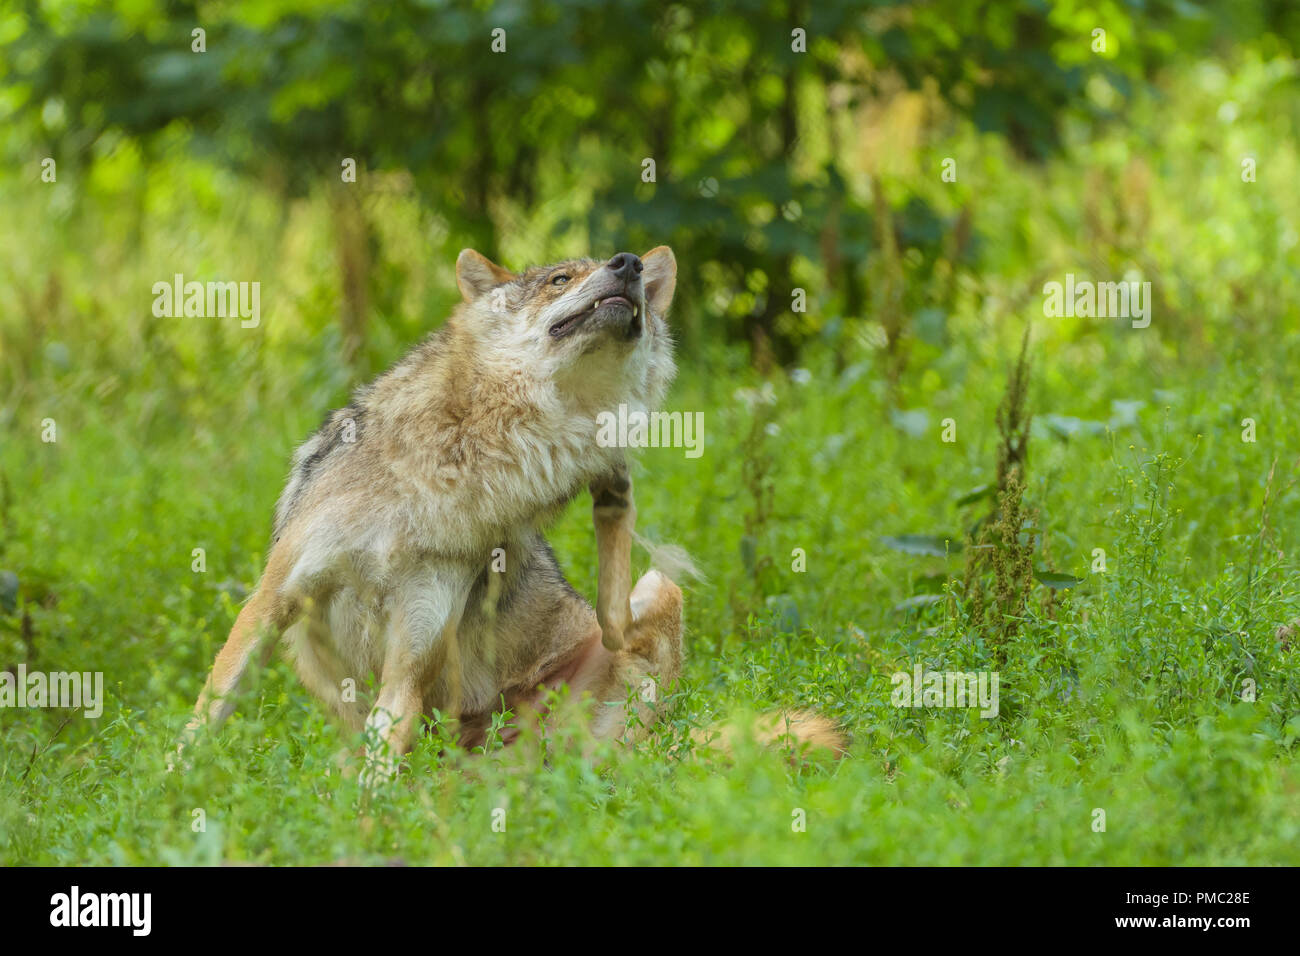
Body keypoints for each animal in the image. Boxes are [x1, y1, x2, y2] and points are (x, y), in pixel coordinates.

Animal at [177, 247, 841, 780]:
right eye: (559, 278)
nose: (629, 263)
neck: (463, 456)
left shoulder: (410, 659)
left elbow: (378, 776)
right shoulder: (272, 601)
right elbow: (206, 715)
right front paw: (169, 795)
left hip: (657, 597)